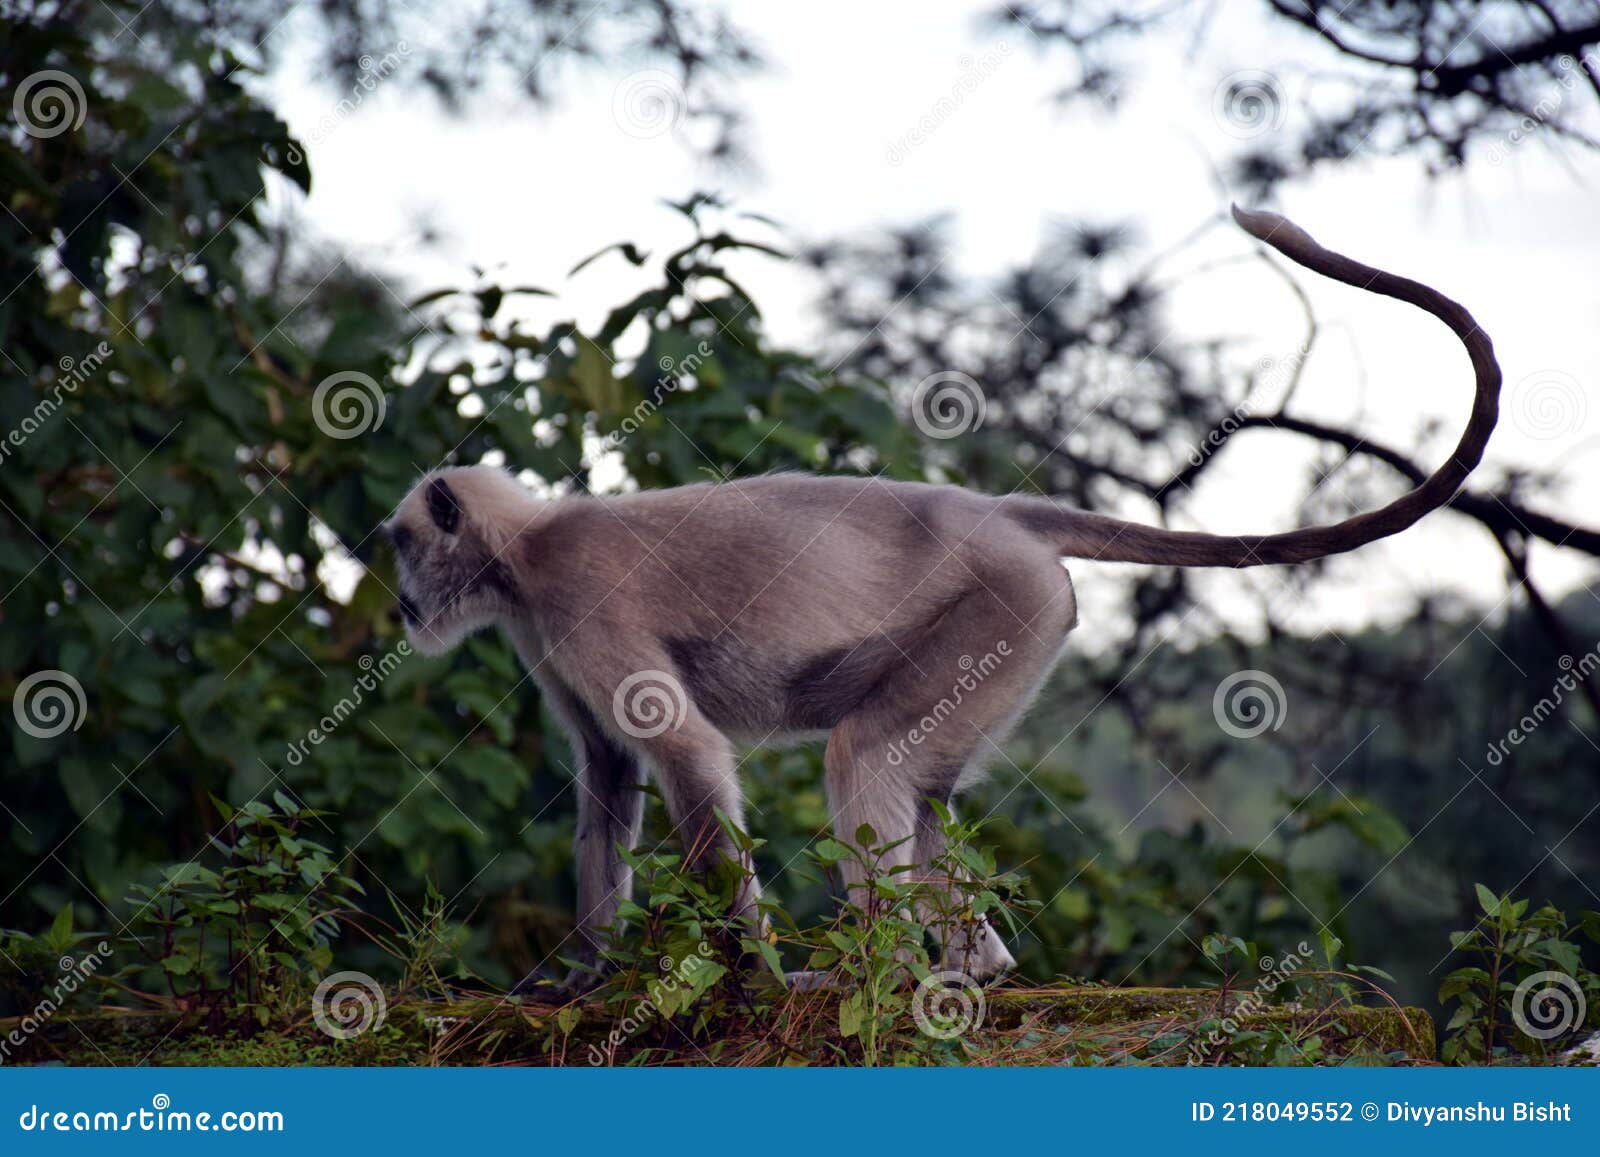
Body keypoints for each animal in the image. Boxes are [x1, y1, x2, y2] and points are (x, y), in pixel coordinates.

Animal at [383, 207, 1501, 997]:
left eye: (400, 545)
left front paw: (745, 974)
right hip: (1015, 636)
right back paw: (973, 967)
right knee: (919, 784)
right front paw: (584, 976)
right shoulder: (541, 623)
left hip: (1001, 612)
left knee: (865, 755)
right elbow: (610, 777)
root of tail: (995, 514)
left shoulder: (575, 595)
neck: (526, 548)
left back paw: (875, 975)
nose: (399, 605)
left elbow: (687, 753)